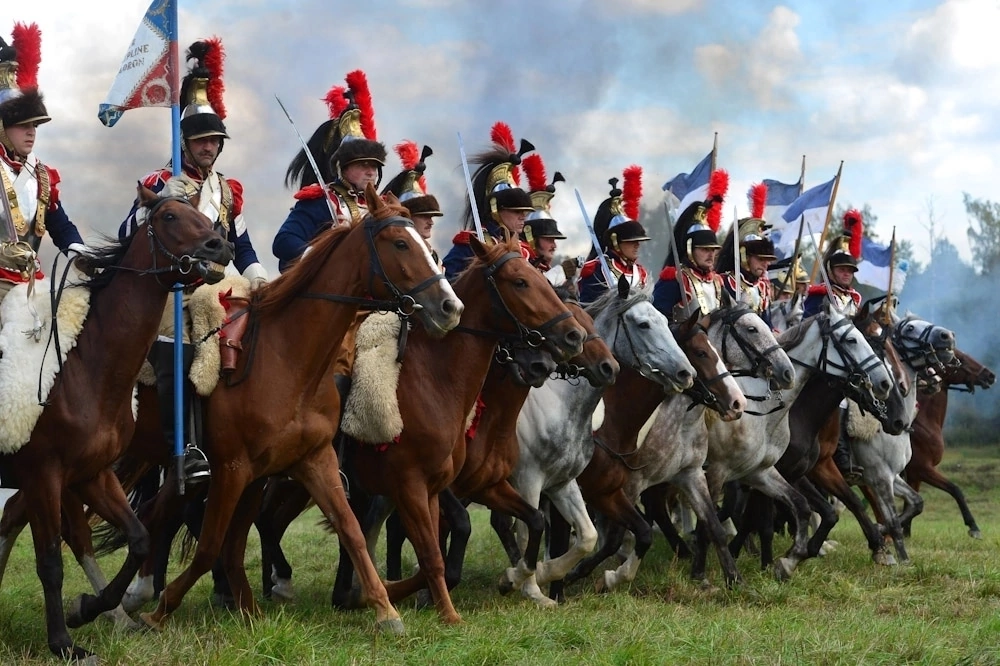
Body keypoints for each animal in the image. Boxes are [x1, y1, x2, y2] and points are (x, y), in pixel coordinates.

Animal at [0, 187, 232, 660]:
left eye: (204, 217)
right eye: (168, 216)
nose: (219, 247)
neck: (86, 367)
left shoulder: (91, 475)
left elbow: (139, 537)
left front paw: (88, 609)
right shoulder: (43, 475)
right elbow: (50, 561)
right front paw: (63, 643)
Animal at [500, 284, 696, 600]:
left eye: (666, 323)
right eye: (643, 324)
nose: (686, 373)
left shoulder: (577, 487)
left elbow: (601, 536)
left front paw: (551, 573)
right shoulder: (530, 481)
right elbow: (532, 531)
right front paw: (533, 585)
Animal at [904, 344, 996, 536]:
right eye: (959, 357)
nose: (990, 375)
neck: (922, 423)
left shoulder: (915, 476)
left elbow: (911, 506)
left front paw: (903, 533)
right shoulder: (923, 469)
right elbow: (955, 489)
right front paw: (973, 526)